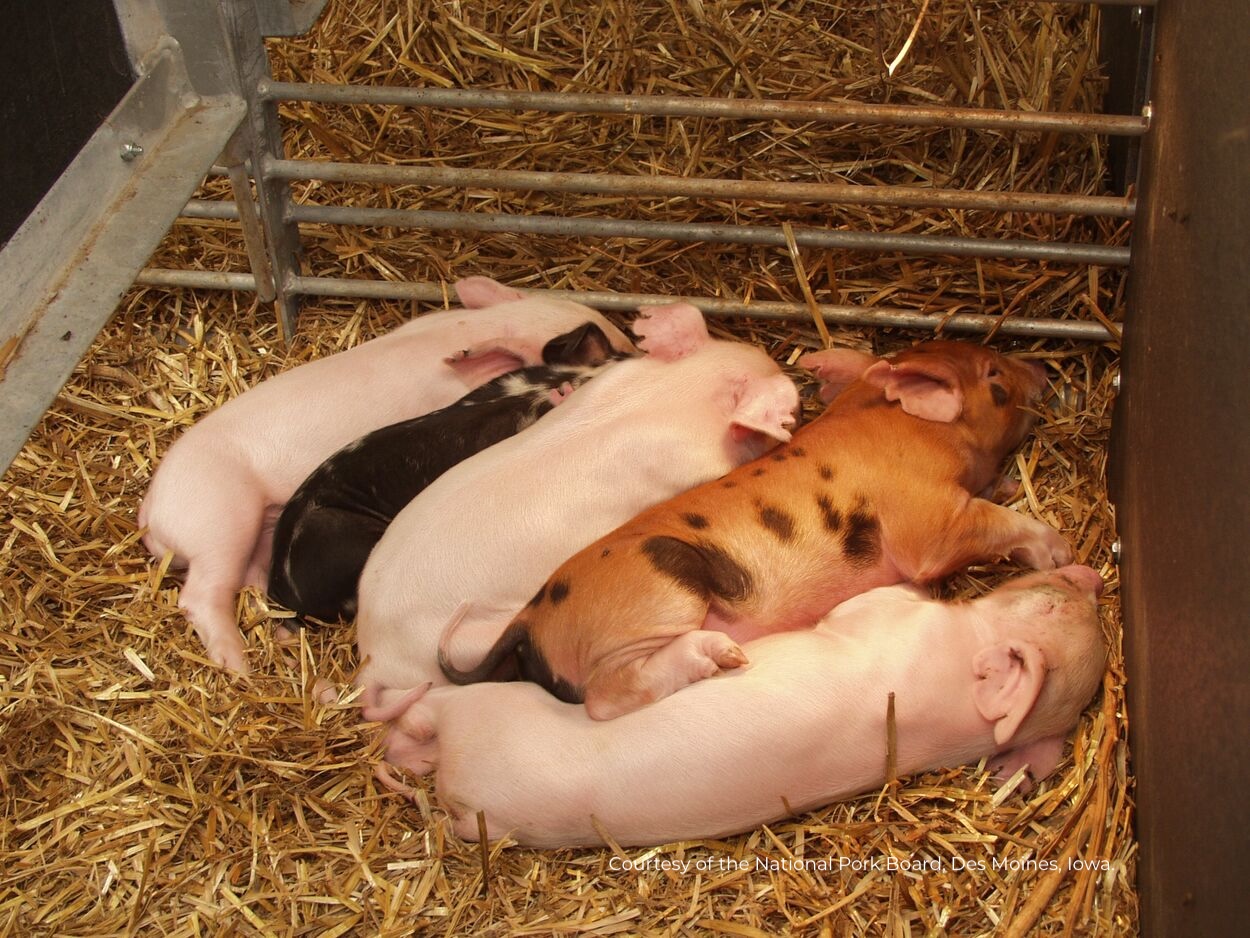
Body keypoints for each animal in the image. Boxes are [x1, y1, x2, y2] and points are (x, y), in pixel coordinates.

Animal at [438, 340, 1073, 719]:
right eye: (994, 376)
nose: (1044, 368)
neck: (911, 427)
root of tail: (530, 618)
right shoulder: (926, 519)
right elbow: (981, 526)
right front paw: (1060, 553)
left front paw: (1012, 489)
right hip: (661, 585)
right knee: (605, 697)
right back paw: (717, 656)